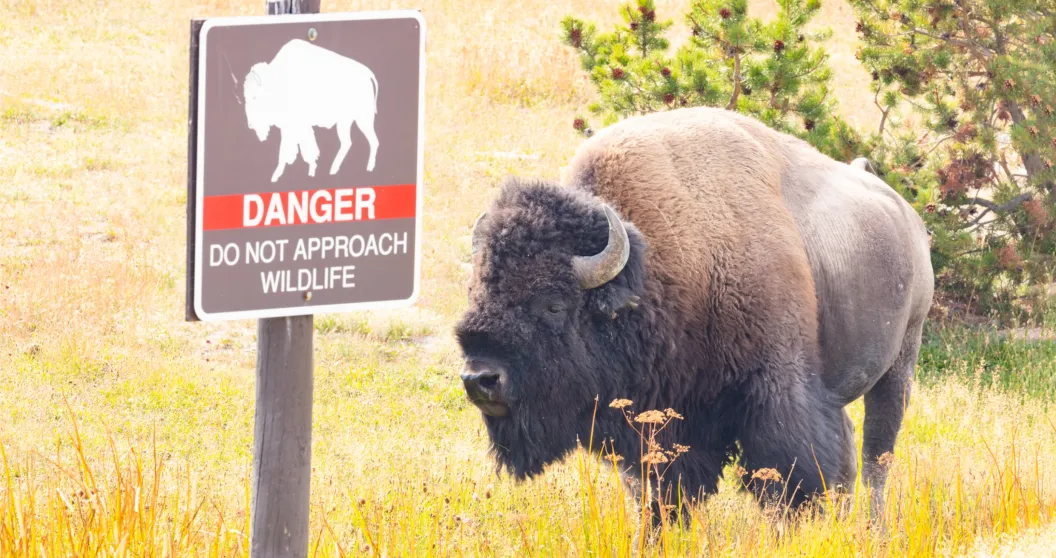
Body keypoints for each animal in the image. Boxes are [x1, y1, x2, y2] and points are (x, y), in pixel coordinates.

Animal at [455, 107, 934, 520]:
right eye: (476, 293)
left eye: (554, 304)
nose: (480, 379)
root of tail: (907, 218)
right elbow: (656, 491)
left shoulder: (776, 392)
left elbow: (788, 477)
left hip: (900, 365)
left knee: (876, 455)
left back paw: (871, 526)